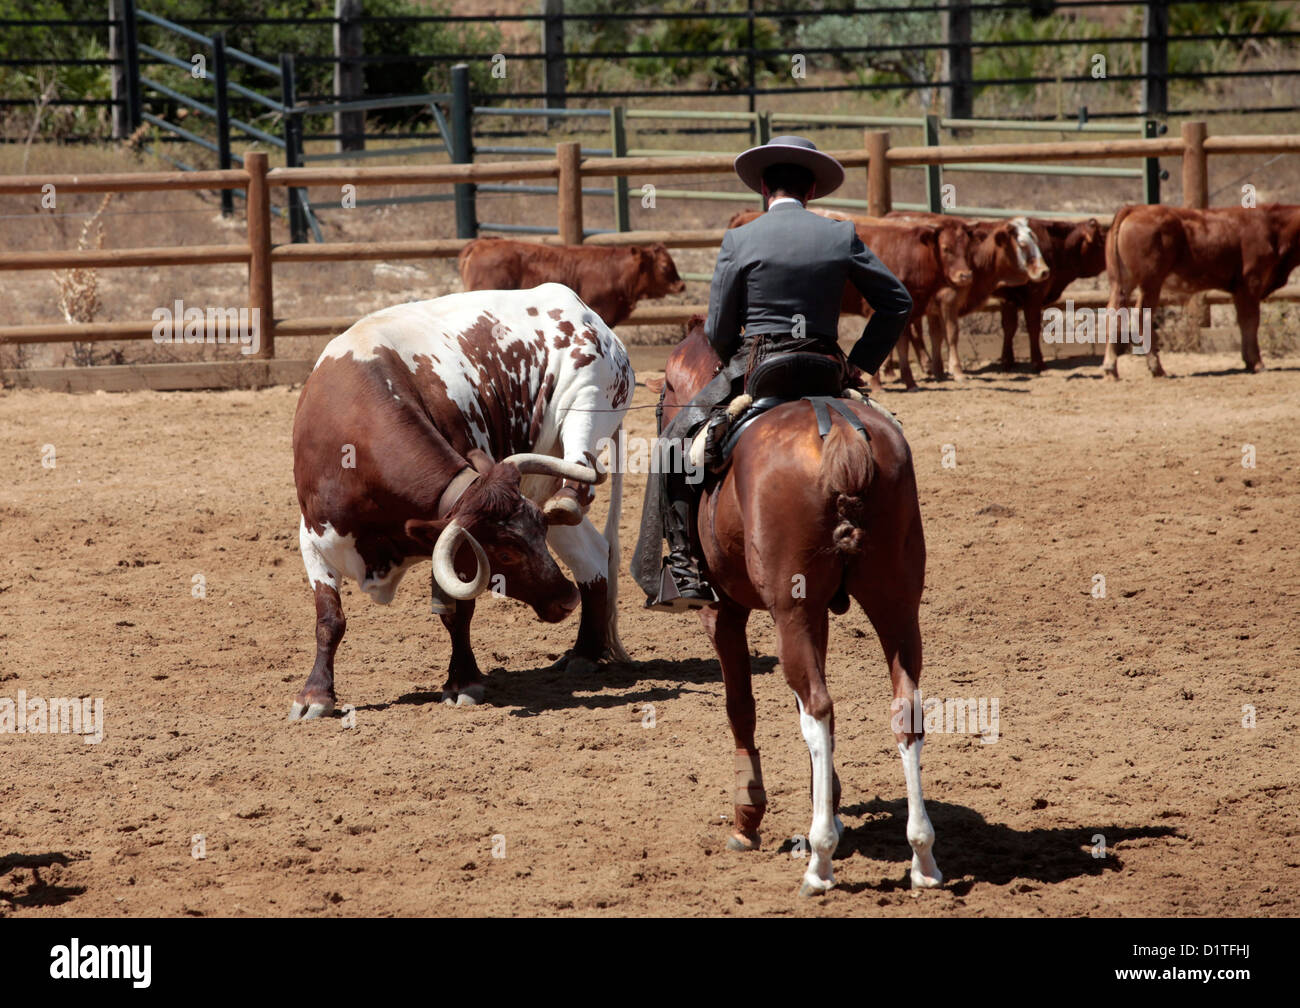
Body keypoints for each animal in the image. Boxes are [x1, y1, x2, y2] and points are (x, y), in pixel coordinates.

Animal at [290, 283, 634, 719]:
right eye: (505, 552)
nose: (566, 599)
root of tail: (582, 310)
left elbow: (457, 613)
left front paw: (463, 682)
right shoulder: (313, 537)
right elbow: (329, 618)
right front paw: (315, 695)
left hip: (585, 399)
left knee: (580, 465)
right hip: (541, 484)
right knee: (591, 553)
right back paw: (585, 651)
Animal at [887, 212, 1050, 380]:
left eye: (1036, 241)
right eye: (1022, 244)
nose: (1044, 271)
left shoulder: (934, 308)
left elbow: (937, 336)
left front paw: (939, 371)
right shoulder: (948, 301)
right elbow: (951, 334)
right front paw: (956, 370)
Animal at [995, 217, 1107, 372]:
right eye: (1102, 236)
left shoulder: (1007, 299)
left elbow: (1009, 327)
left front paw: (1007, 362)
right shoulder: (1034, 294)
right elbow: (1032, 326)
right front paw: (1038, 363)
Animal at [1103, 204, 1300, 378]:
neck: (1272, 227)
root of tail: (1136, 208)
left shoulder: (1239, 289)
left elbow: (1243, 322)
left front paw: (1248, 362)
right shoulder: (1251, 282)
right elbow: (1251, 321)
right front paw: (1257, 363)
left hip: (1121, 282)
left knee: (1114, 312)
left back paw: (1111, 368)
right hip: (1151, 282)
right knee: (1142, 315)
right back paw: (1156, 368)